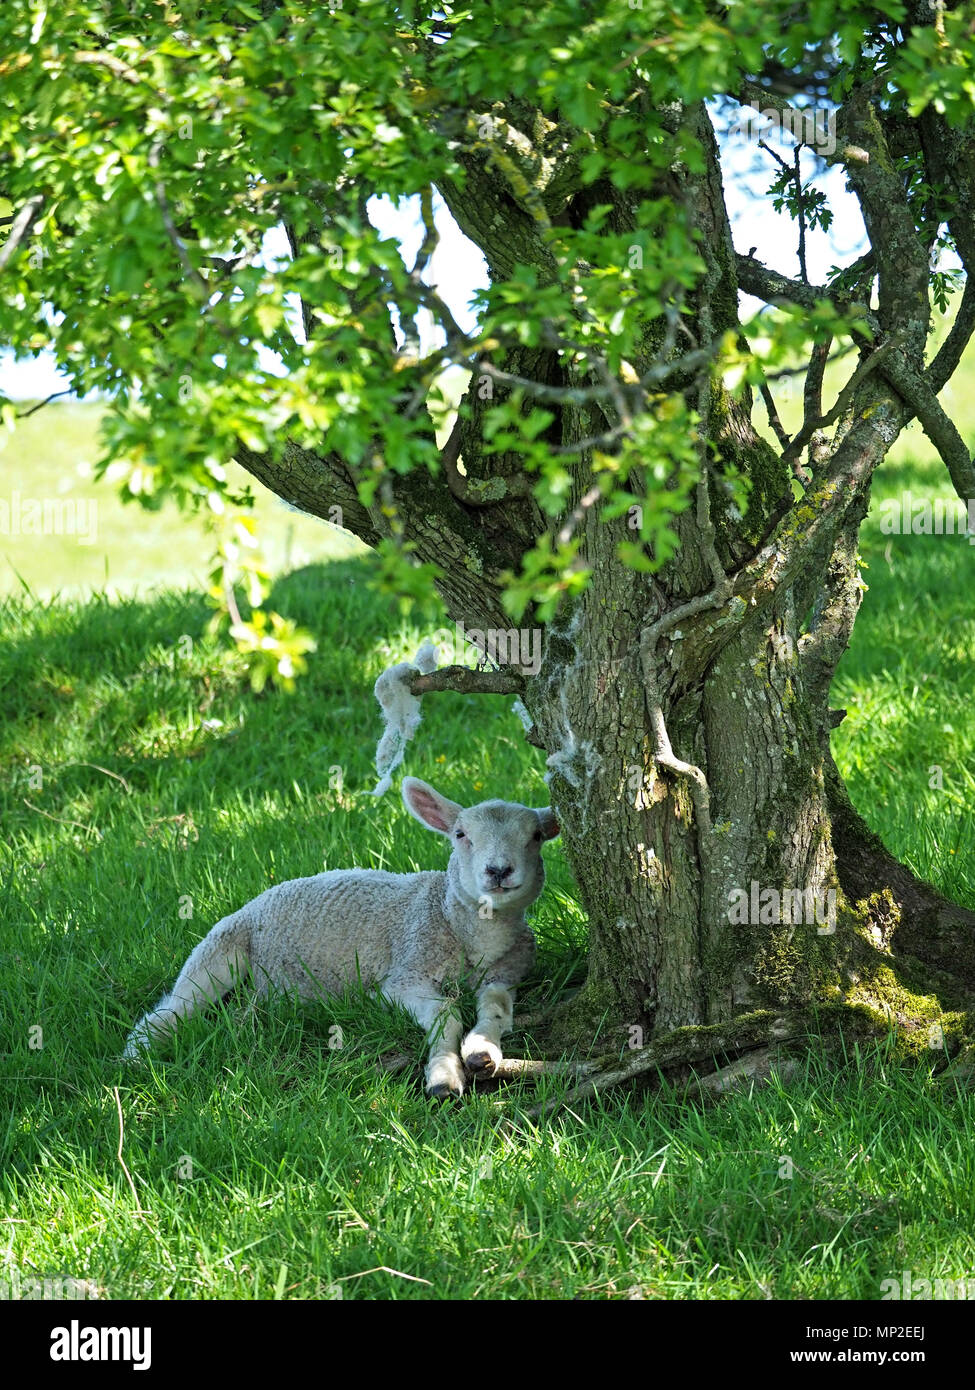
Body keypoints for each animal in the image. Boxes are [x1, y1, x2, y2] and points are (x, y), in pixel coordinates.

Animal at [123, 777, 559, 1098]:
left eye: (537, 836)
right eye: (460, 834)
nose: (498, 870)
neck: (456, 922)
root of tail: (258, 899)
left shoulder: (507, 973)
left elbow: (498, 1010)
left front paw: (482, 1052)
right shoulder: (403, 976)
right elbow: (445, 1015)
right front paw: (443, 1077)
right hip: (221, 946)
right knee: (172, 1008)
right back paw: (135, 1054)